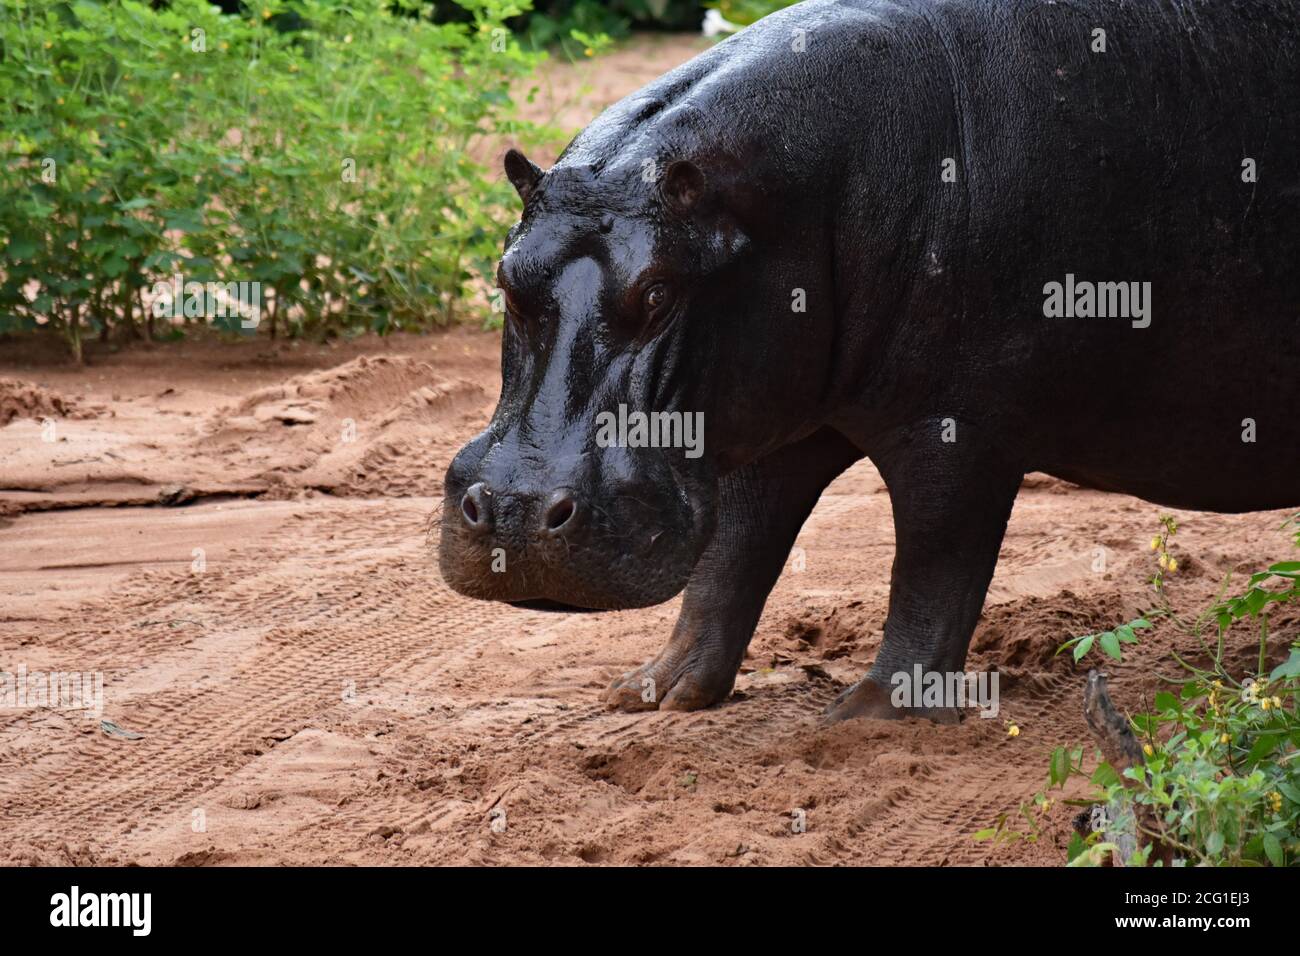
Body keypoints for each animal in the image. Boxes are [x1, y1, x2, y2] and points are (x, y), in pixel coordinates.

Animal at [439, 0, 1300, 721]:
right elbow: (733, 554)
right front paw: (655, 690)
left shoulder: (958, 430)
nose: (513, 509)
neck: (776, 202)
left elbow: (933, 567)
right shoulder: (775, 406)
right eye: (506, 273)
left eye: (658, 290)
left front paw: (868, 718)